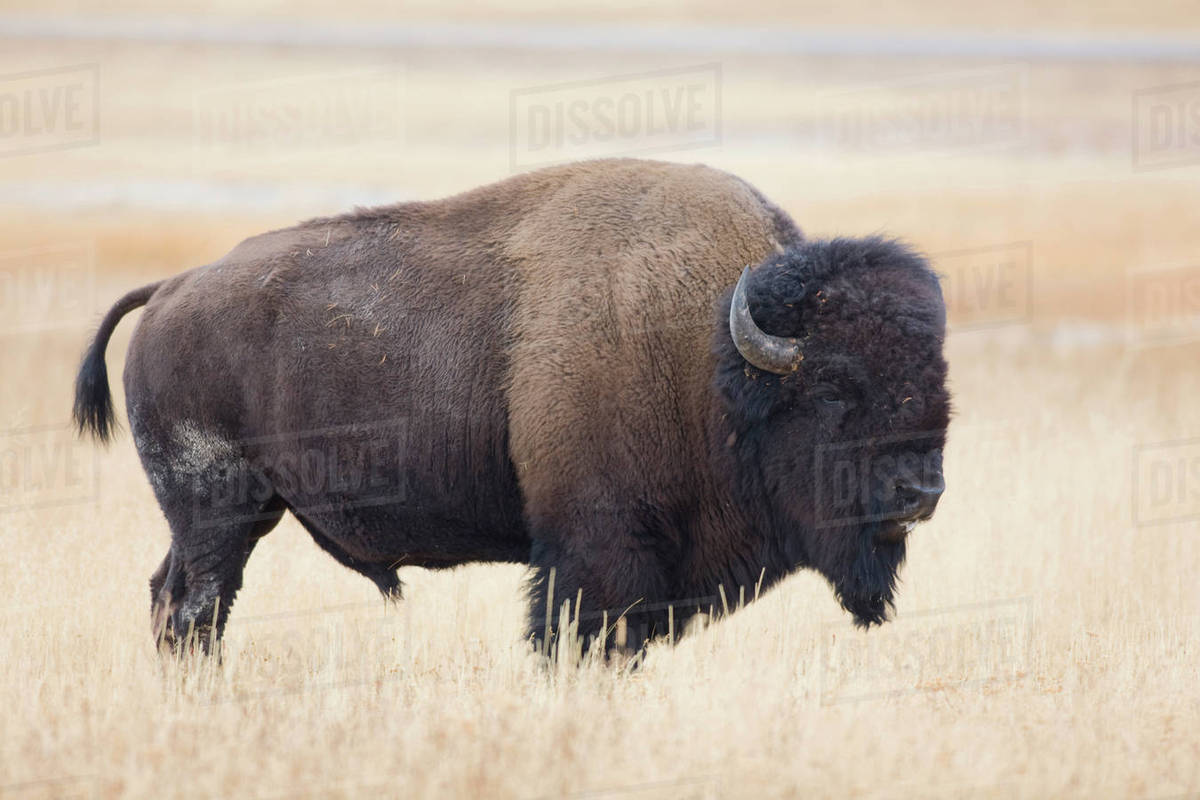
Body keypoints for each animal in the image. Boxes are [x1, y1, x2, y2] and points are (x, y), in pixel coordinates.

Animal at [73, 158, 949, 656]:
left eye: (937, 376)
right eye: (834, 388)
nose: (921, 491)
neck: (711, 353)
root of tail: (173, 289)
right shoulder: (595, 548)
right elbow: (576, 633)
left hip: (235, 514)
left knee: (173, 598)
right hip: (215, 508)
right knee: (194, 605)